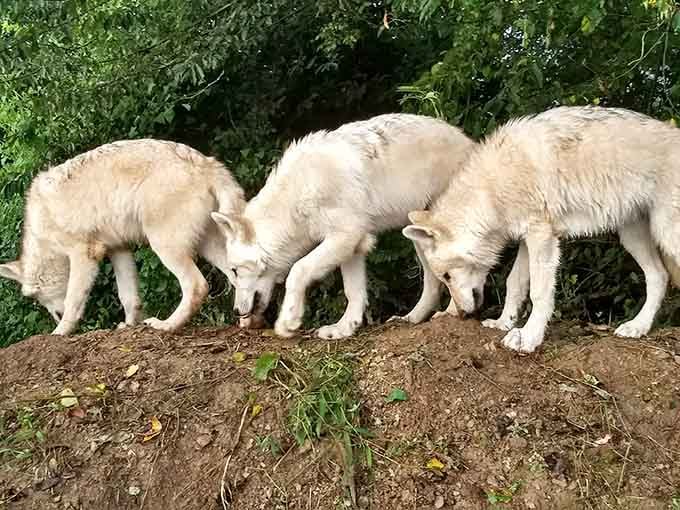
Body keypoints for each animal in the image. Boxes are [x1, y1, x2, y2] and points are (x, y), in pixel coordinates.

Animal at [0, 139, 245, 336]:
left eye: (37, 297)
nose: (55, 316)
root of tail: (207, 163)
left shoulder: (84, 255)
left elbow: (73, 301)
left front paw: (59, 332)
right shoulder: (119, 249)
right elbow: (128, 297)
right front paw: (129, 325)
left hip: (165, 248)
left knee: (197, 286)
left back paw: (166, 325)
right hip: (210, 248)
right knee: (236, 279)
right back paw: (246, 323)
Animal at [211, 113, 475, 339]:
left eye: (234, 270)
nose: (236, 312)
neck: (298, 194)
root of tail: (470, 142)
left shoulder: (344, 236)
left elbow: (298, 270)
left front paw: (288, 322)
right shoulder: (354, 246)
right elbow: (353, 292)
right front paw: (344, 328)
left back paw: (453, 312)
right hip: (418, 238)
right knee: (433, 282)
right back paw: (412, 318)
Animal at [403, 106, 680, 353]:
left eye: (447, 277)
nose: (461, 314)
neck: (491, 191)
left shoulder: (542, 237)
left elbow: (539, 293)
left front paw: (529, 338)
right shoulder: (527, 240)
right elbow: (514, 283)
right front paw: (503, 323)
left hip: (666, 233)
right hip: (632, 237)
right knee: (659, 276)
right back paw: (638, 327)